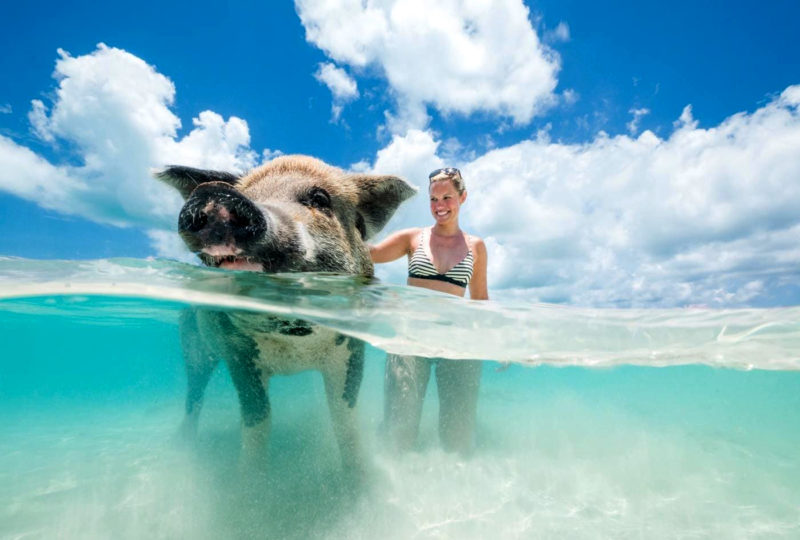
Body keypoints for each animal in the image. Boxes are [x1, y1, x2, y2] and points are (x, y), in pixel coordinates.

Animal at [155, 155, 416, 474]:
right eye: (251, 194)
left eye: (320, 198)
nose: (214, 192)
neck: (296, 341)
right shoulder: (237, 351)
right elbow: (258, 418)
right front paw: (250, 478)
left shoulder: (352, 346)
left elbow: (343, 415)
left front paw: (359, 477)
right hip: (193, 342)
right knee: (194, 393)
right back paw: (182, 445)